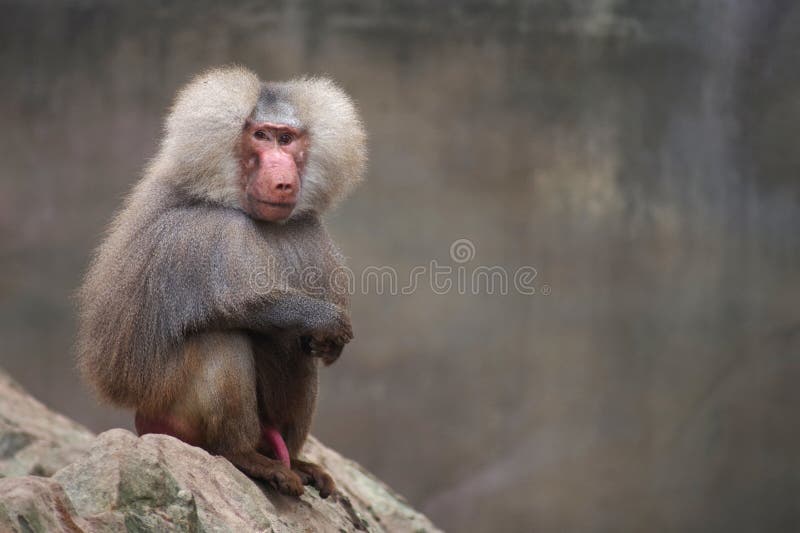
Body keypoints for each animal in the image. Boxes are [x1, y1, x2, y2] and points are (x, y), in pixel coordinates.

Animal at [76, 66, 366, 499]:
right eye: (261, 136)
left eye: (287, 139)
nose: (283, 181)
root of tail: (142, 421)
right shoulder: (211, 233)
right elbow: (247, 305)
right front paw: (330, 323)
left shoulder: (305, 229)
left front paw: (328, 343)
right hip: (166, 400)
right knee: (221, 338)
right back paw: (244, 456)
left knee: (296, 353)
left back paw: (293, 461)